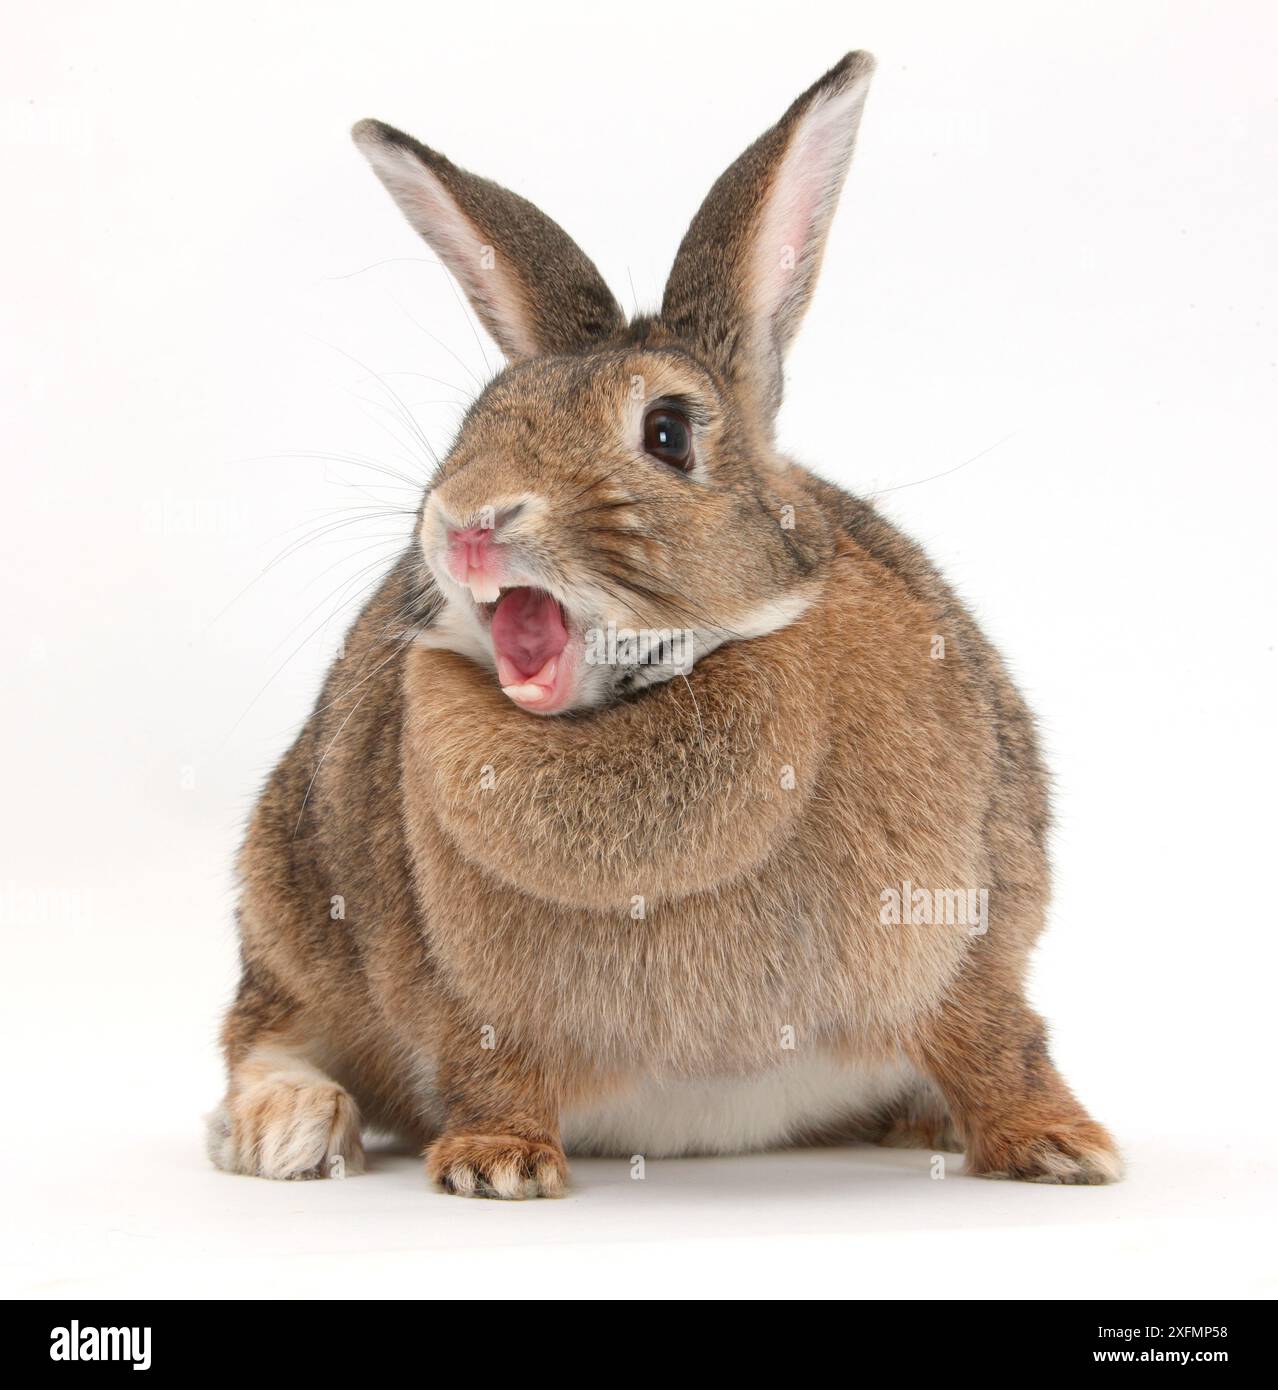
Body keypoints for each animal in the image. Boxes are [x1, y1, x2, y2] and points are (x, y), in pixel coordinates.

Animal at [207, 51, 1121, 1197]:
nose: (466, 521)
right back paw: (290, 1128)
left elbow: (998, 1038)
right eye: (477, 418)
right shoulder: (461, 1001)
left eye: (669, 432)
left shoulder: (971, 939)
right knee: (266, 1030)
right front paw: (497, 1166)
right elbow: (486, 1070)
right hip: (286, 891)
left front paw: (1062, 1147)